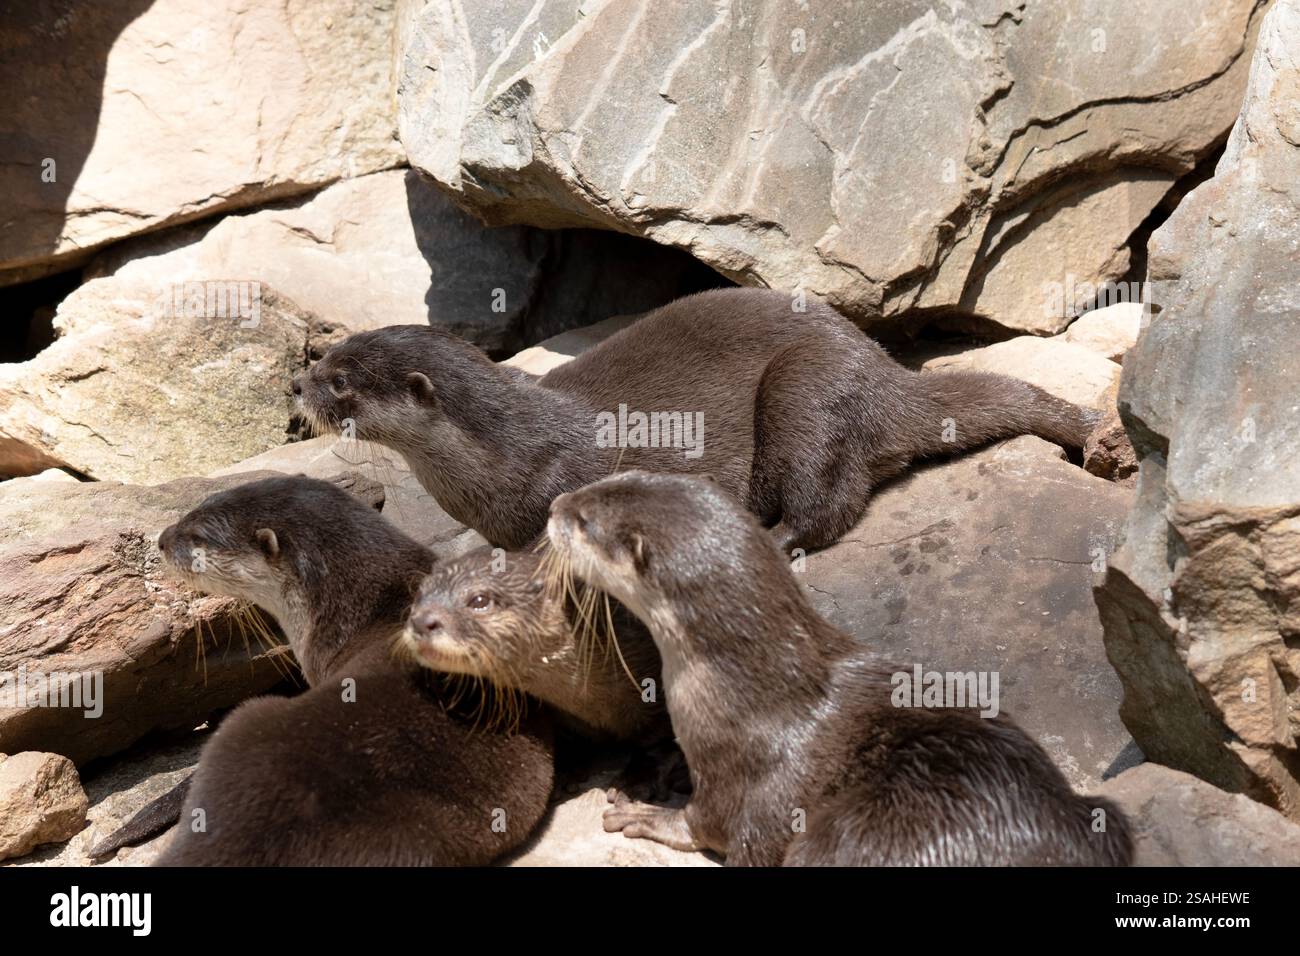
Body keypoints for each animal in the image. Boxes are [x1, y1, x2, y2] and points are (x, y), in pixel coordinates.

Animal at [292, 287, 1099, 553]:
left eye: (341, 382)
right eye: (328, 352)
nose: (296, 384)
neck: (502, 452)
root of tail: (889, 373)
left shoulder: (566, 473)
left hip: (806, 389)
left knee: (830, 500)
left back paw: (775, 537)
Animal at [544, 470, 1133, 867]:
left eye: (584, 521)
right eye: (605, 479)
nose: (554, 504)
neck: (737, 691)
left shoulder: (735, 771)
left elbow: (710, 825)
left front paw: (646, 813)